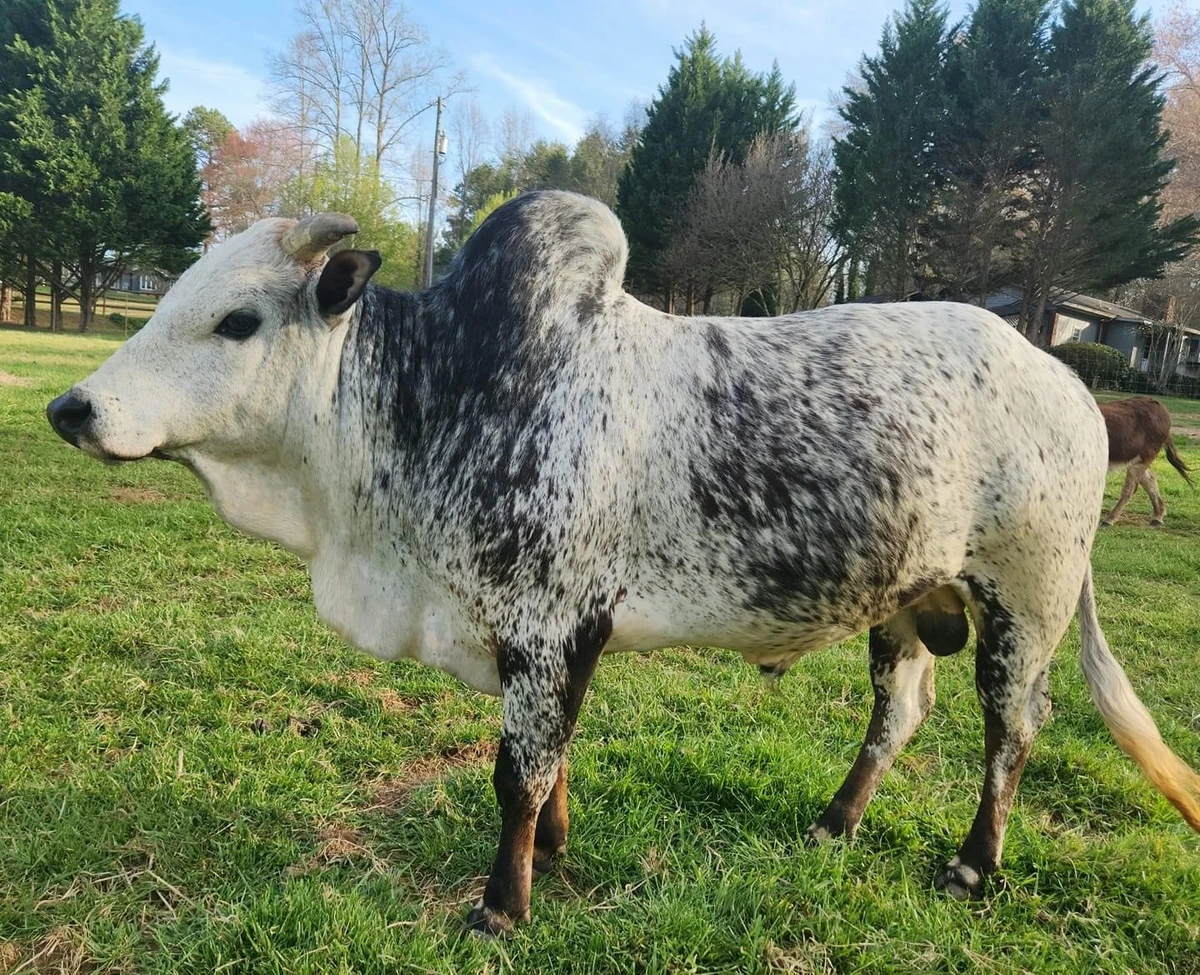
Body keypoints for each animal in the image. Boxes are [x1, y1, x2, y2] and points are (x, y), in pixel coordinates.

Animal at [1099, 396, 1194, 526]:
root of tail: (1161, 408)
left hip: (1143, 458)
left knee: (1130, 489)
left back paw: (1110, 519)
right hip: (1139, 460)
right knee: (1150, 480)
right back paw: (1157, 516)